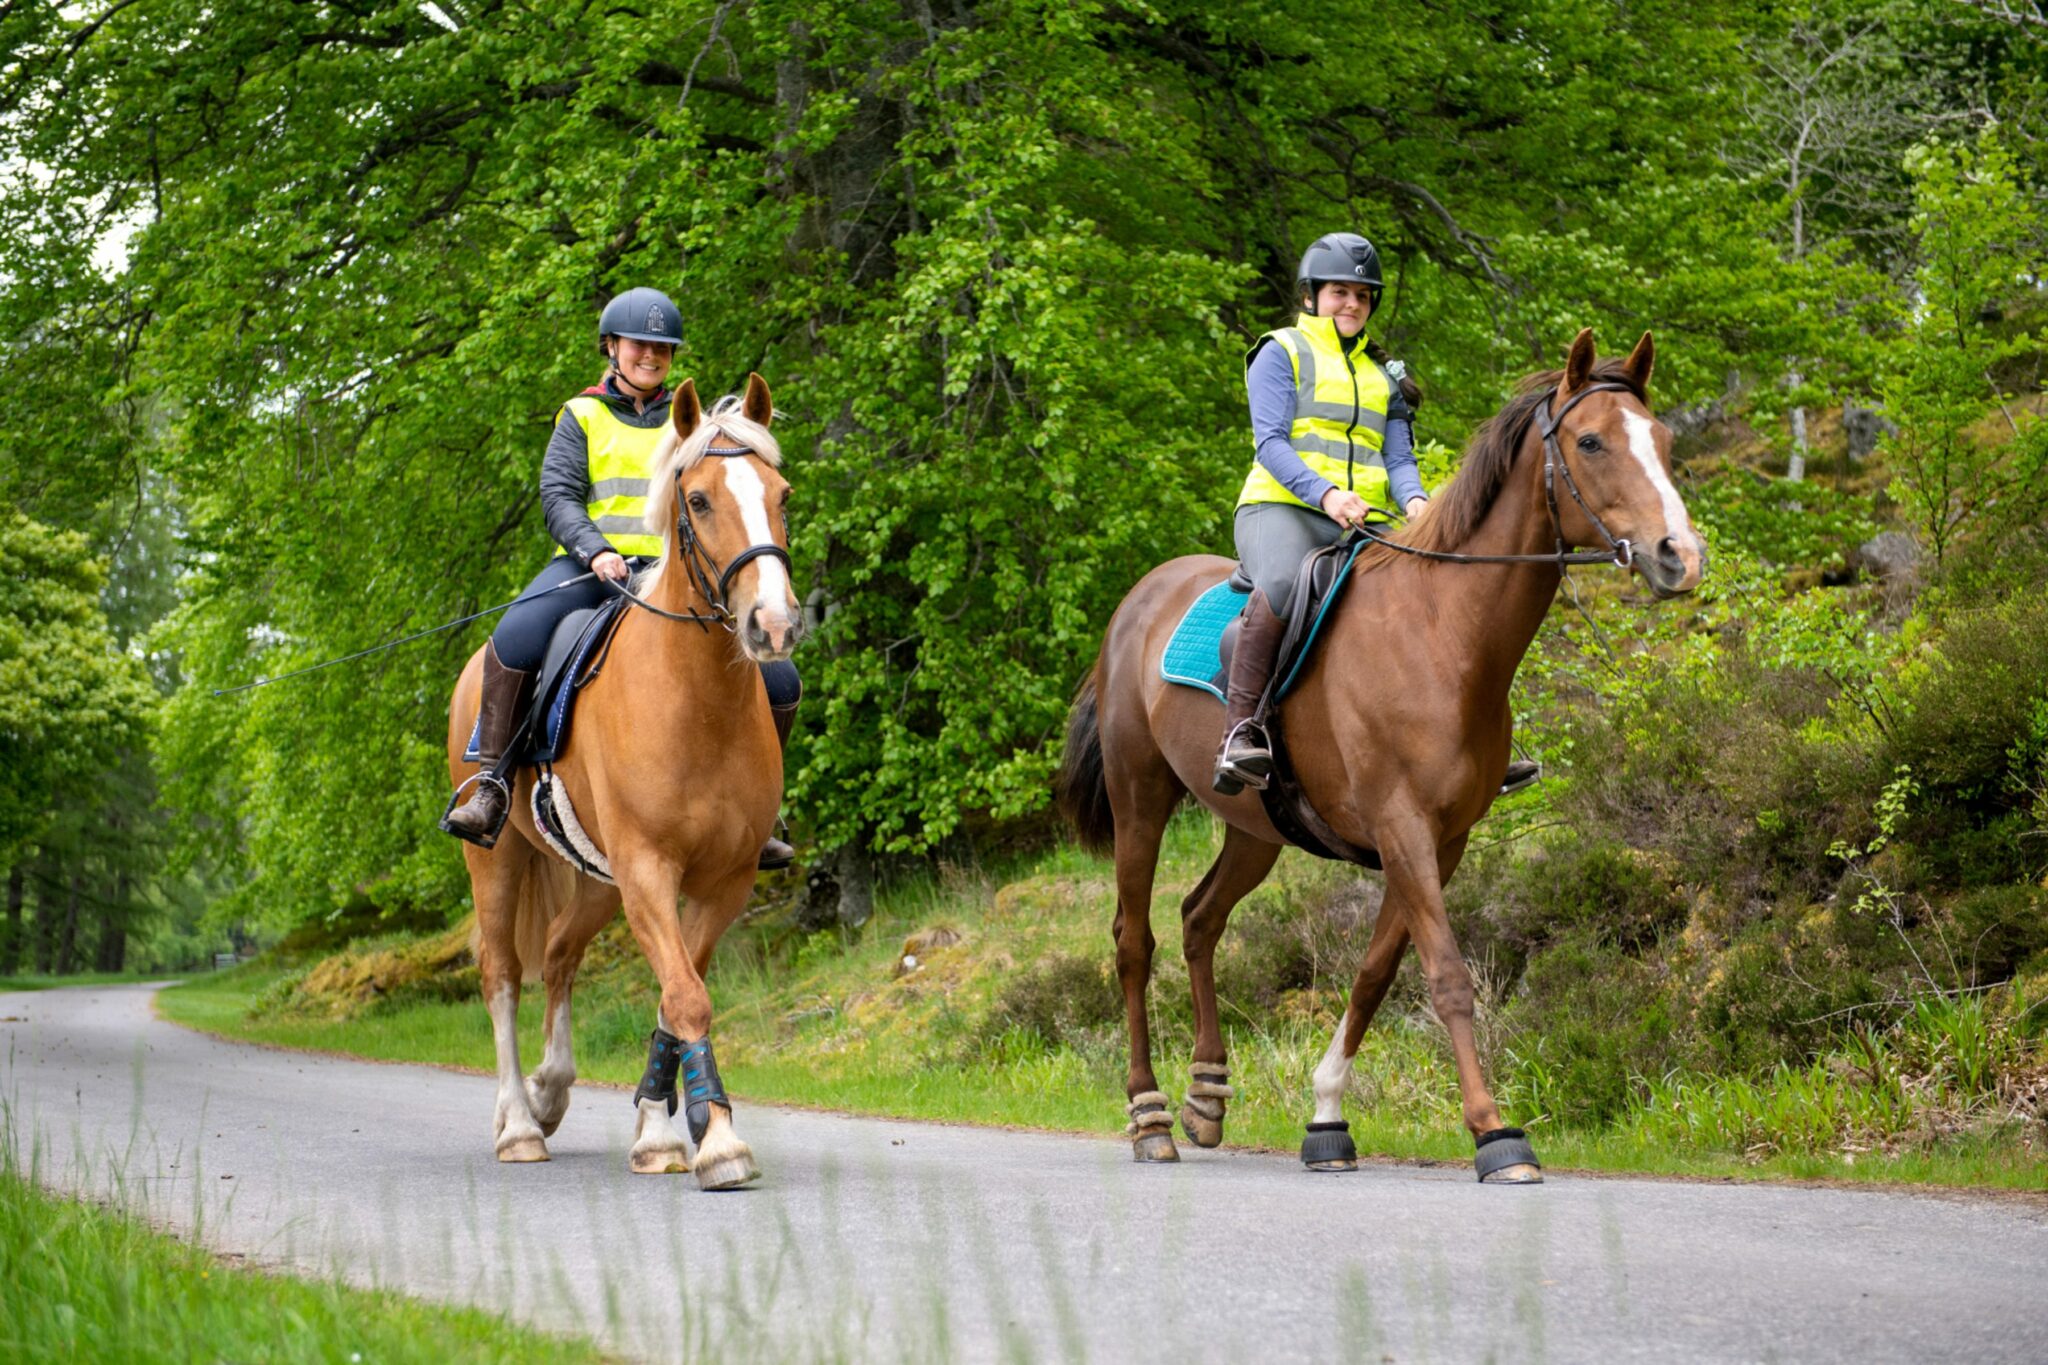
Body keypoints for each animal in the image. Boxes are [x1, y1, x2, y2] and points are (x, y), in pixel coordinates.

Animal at [443, 373, 801, 1190]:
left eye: (781, 493)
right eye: (697, 499)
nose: (772, 625)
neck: (698, 705)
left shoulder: (722, 881)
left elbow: (676, 997)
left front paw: (663, 1132)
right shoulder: (647, 869)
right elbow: (687, 998)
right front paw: (717, 1142)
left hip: (596, 882)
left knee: (559, 957)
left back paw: (549, 1092)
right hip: (498, 860)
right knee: (503, 973)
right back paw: (520, 1123)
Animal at [1055, 329, 1705, 1181]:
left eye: (1662, 440)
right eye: (1592, 441)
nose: (1679, 554)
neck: (1442, 632)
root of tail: (1137, 601)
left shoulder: (1442, 840)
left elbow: (1374, 973)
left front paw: (1327, 1116)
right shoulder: (1402, 830)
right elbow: (1448, 975)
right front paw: (1494, 1132)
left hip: (1254, 827)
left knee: (1200, 920)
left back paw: (1206, 1095)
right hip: (1142, 799)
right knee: (1135, 942)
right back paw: (1151, 1114)